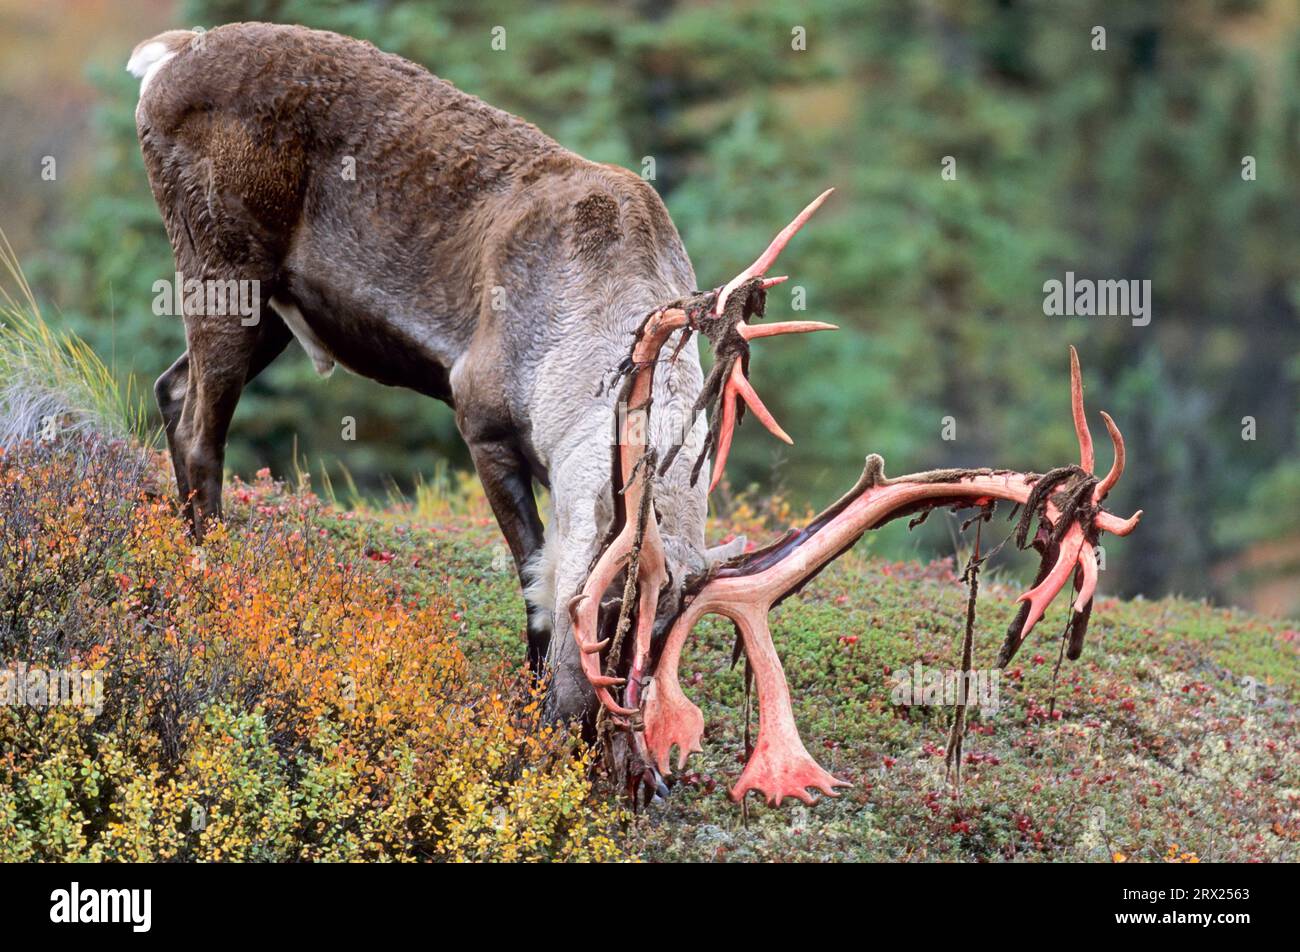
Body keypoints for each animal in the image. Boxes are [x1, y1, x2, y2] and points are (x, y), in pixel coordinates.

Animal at [127, 22, 807, 728]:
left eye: (672, 632)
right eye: (607, 605)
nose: (587, 722)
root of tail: (167, 56)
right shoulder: (483, 425)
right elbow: (533, 576)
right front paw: (531, 700)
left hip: (272, 311)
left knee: (174, 389)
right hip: (224, 270)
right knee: (201, 429)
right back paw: (215, 572)